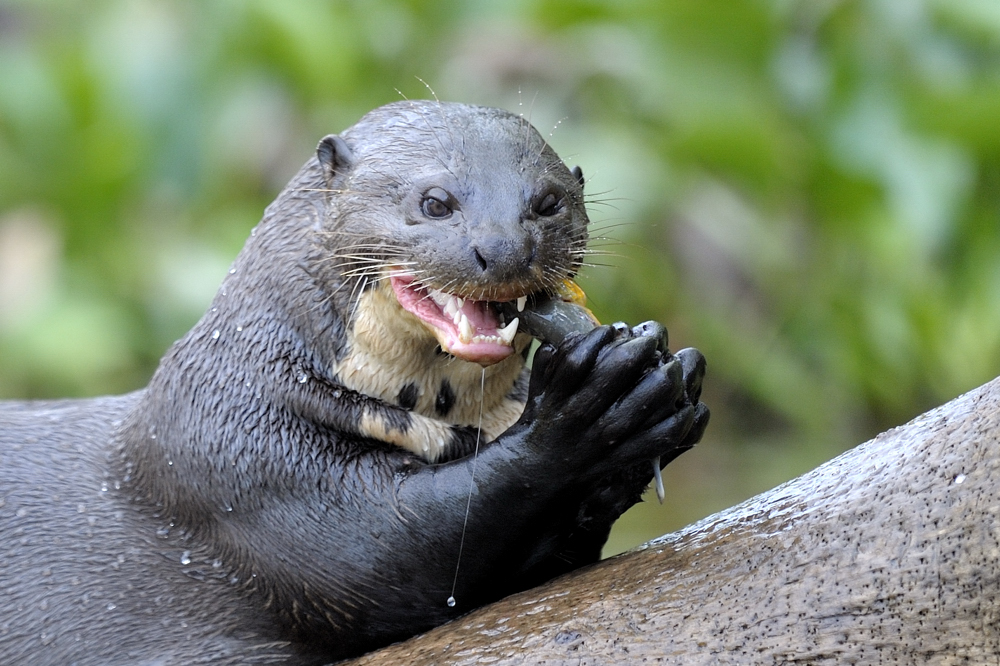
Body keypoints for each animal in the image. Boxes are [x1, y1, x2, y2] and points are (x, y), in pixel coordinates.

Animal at [0, 101, 709, 665]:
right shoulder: (235, 466)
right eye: (435, 202)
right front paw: (591, 410)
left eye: (548, 202)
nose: (504, 249)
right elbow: (388, 560)